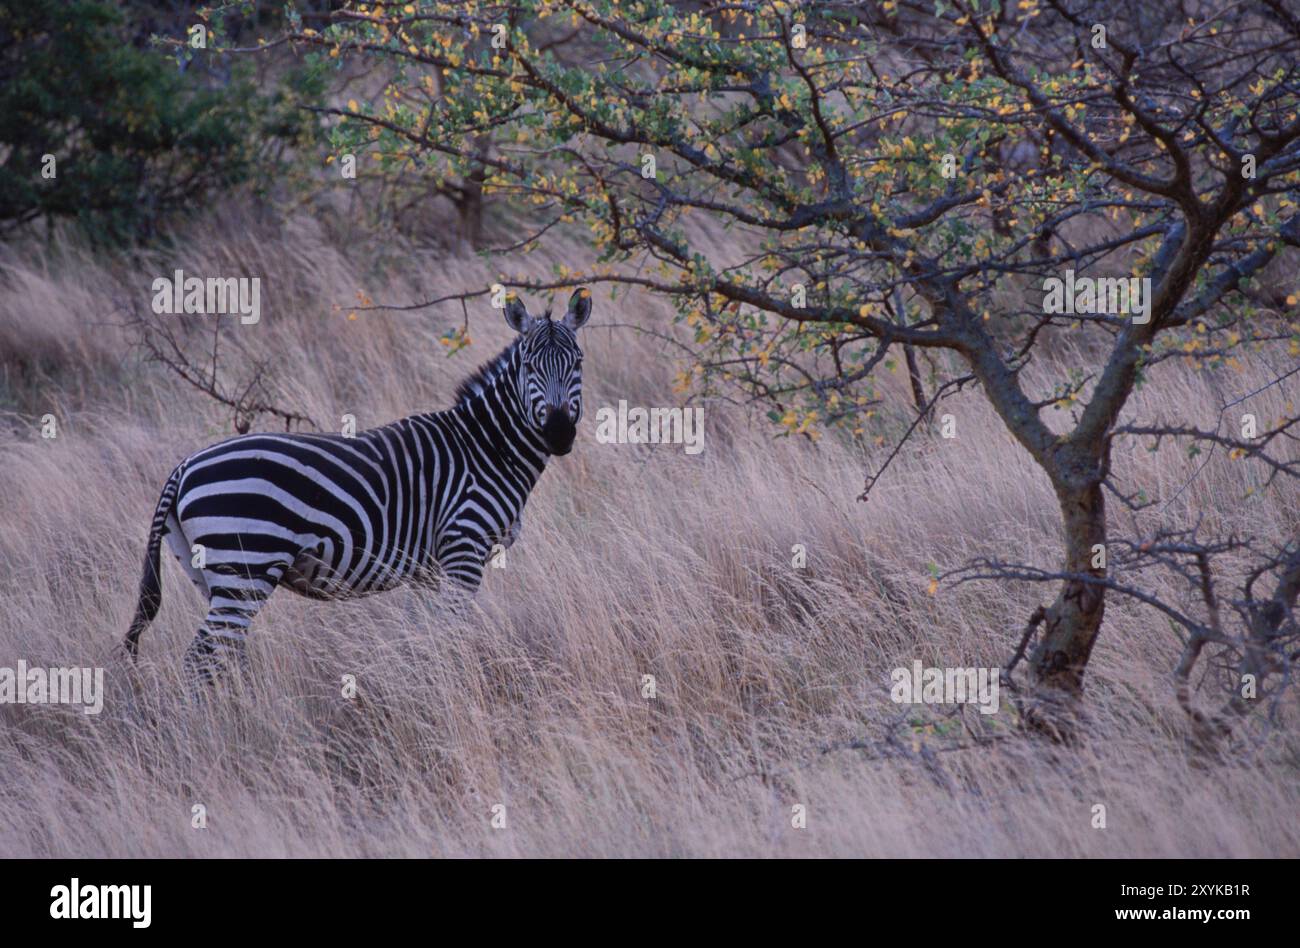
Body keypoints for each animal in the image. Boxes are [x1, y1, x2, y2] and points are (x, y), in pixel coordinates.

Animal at [122, 287, 591, 685]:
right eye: (529, 366)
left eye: (579, 363)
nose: (560, 433)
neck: (485, 446)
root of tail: (183, 467)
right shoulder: (463, 549)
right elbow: (452, 634)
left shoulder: (428, 569)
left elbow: (421, 638)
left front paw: (423, 690)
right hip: (246, 564)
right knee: (200, 661)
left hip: (209, 574)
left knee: (223, 656)